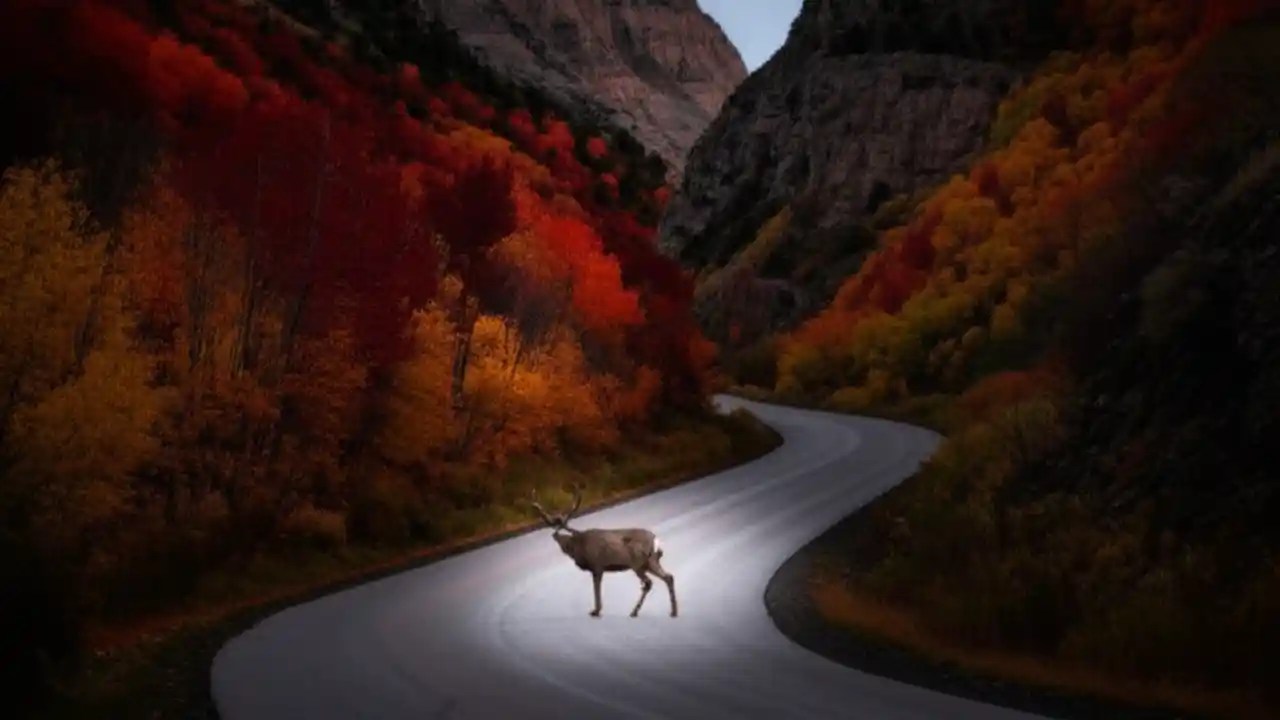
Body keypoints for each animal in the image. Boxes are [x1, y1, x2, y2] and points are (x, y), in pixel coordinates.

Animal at [529, 485, 677, 619]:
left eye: (565, 543)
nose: (556, 535)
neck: (579, 546)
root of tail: (656, 540)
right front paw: (596, 610)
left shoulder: (597, 565)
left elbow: (596, 588)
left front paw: (596, 611)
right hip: (650, 562)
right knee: (668, 577)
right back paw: (673, 611)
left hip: (637, 563)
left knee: (649, 583)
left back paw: (635, 612)